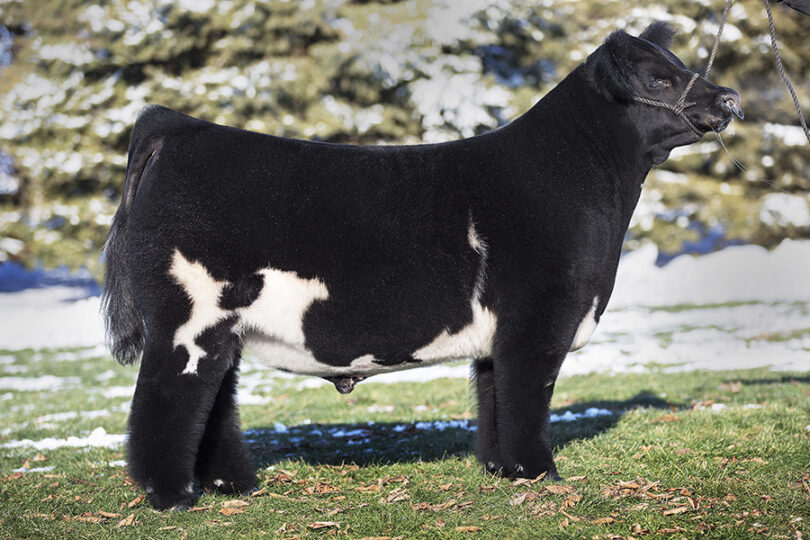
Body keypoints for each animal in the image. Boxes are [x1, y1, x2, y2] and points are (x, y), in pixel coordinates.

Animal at [102, 22, 742, 510]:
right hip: (188, 318)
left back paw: (233, 485)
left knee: (213, 401)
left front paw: (502, 472)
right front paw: (542, 475)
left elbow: (494, 398)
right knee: (166, 397)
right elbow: (528, 396)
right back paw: (172, 497)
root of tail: (177, 126)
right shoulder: (538, 318)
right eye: (658, 78)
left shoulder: (499, 335)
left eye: (680, 63)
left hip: (224, 327)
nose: (727, 98)